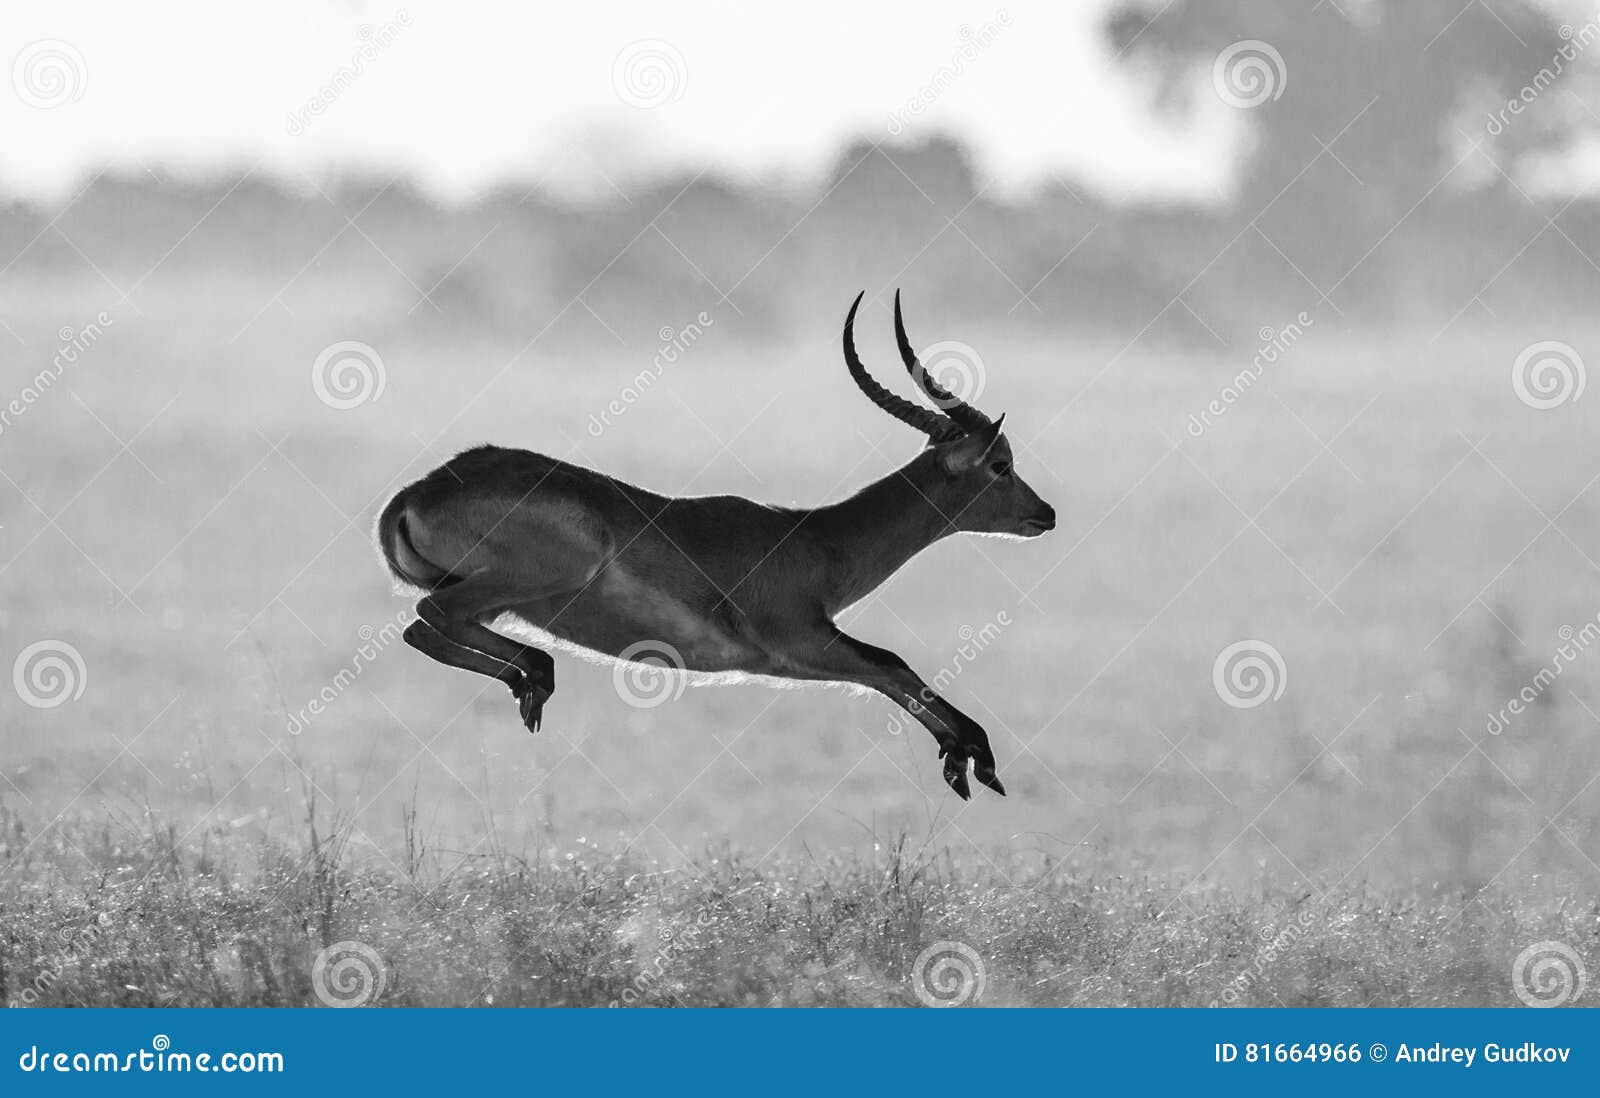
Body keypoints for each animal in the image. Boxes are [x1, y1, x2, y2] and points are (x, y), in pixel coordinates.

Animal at [376, 292, 1055, 799]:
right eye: (1000, 464)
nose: (1045, 514)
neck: (816, 542)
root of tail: (419, 491)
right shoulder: (797, 642)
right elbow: (892, 663)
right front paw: (974, 758)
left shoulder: (795, 653)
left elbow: (891, 673)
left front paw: (961, 759)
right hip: (534, 578)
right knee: (432, 616)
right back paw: (534, 679)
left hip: (494, 600)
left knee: (421, 628)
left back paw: (529, 684)